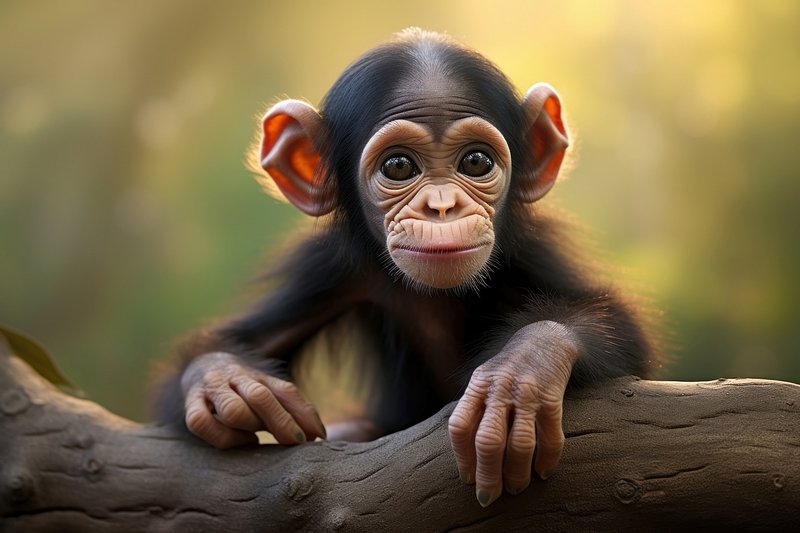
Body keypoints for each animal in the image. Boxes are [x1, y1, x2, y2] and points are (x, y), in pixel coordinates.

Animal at [154, 28, 658, 508]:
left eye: (476, 161)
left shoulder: (534, 251)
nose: (442, 205)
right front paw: (224, 379)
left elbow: (623, 337)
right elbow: (246, 339)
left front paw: (522, 370)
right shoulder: (325, 270)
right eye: (399, 166)